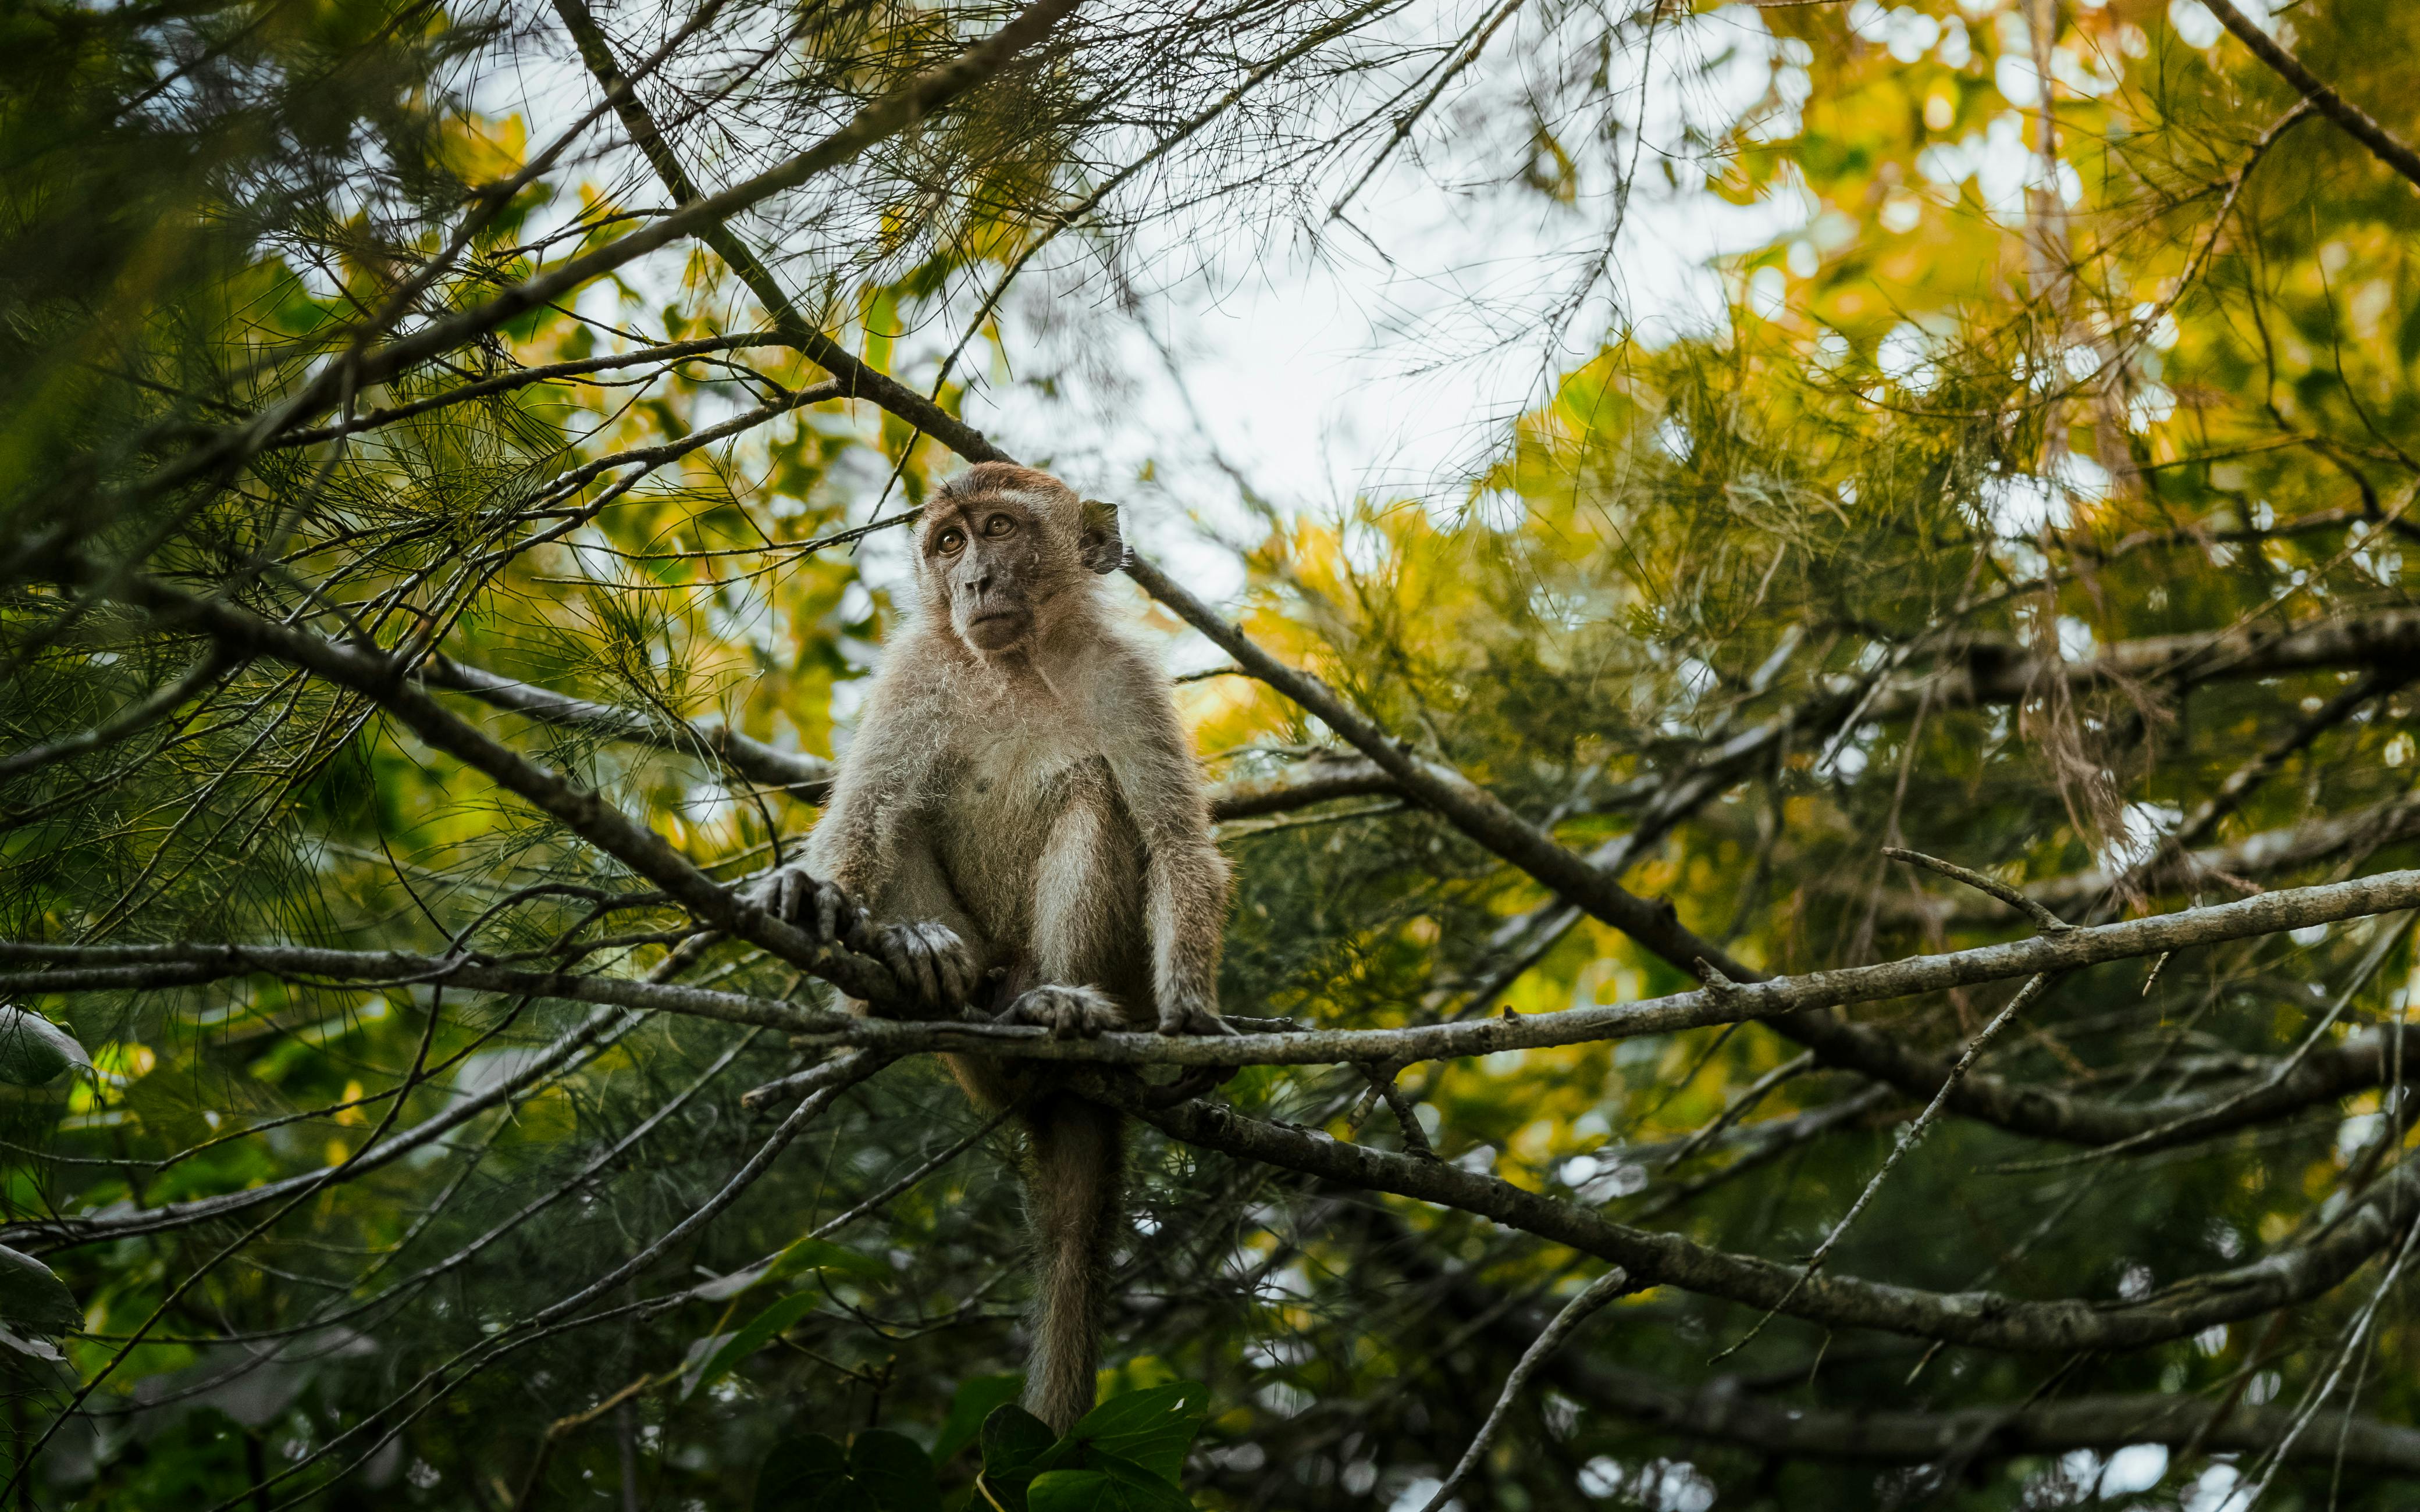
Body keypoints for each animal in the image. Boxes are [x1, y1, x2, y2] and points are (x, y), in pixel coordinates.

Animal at [751, 461, 1232, 1433]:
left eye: (1000, 529)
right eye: (948, 543)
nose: (972, 581)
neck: (1012, 665)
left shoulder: (1127, 681)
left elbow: (1172, 840)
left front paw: (1193, 1017)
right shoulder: (916, 669)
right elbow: (867, 807)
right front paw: (813, 897)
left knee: (1096, 797)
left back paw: (1060, 1007)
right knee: (904, 811)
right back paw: (908, 965)